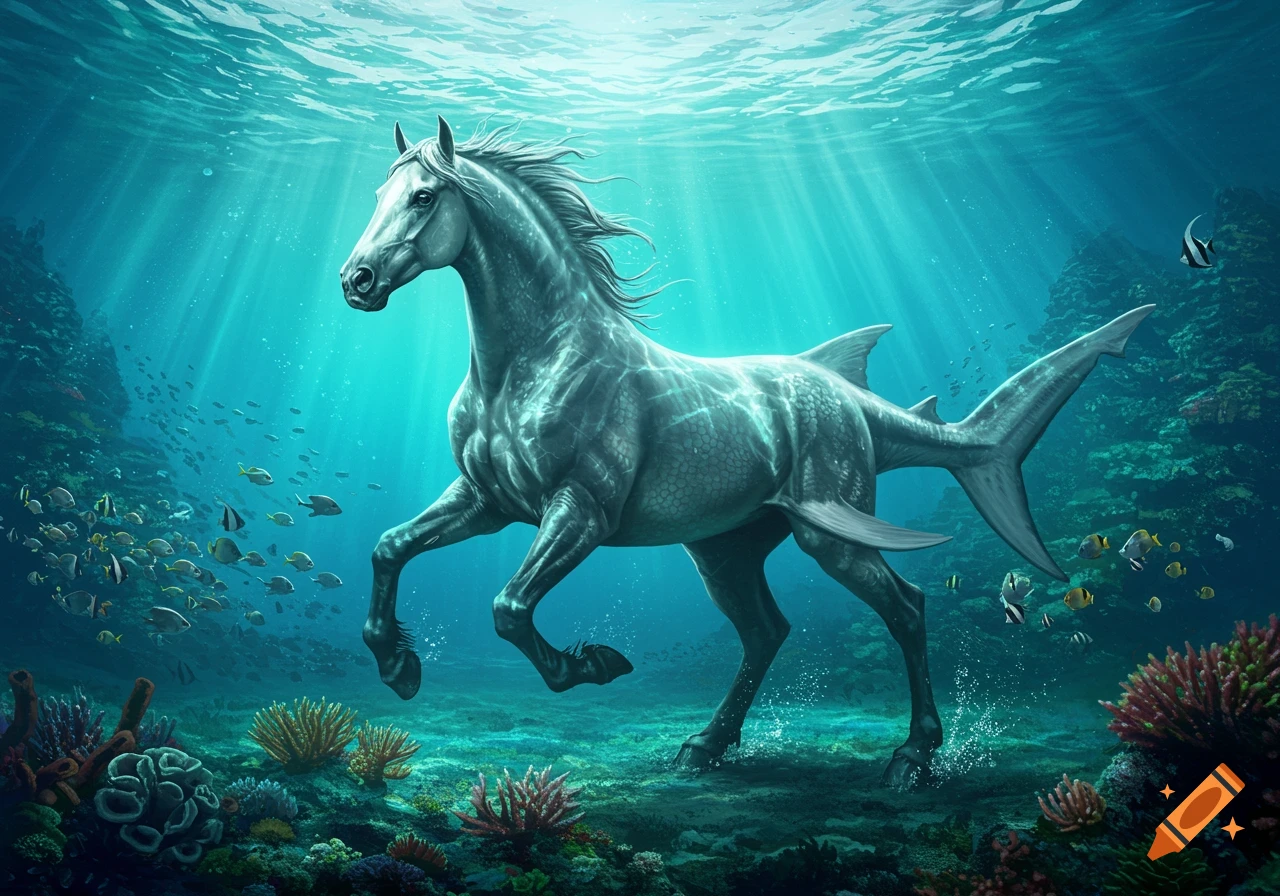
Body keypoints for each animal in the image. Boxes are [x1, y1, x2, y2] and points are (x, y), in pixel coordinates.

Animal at [340, 116, 1153, 787]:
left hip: (831, 533)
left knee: (907, 607)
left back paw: (912, 758)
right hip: (724, 549)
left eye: (423, 197)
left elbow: (508, 608)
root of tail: (854, 402)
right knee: (766, 631)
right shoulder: (485, 500)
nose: (356, 282)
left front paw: (595, 665)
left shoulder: (580, 513)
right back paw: (703, 748)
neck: (533, 360)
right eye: (377, 193)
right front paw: (399, 667)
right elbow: (389, 548)